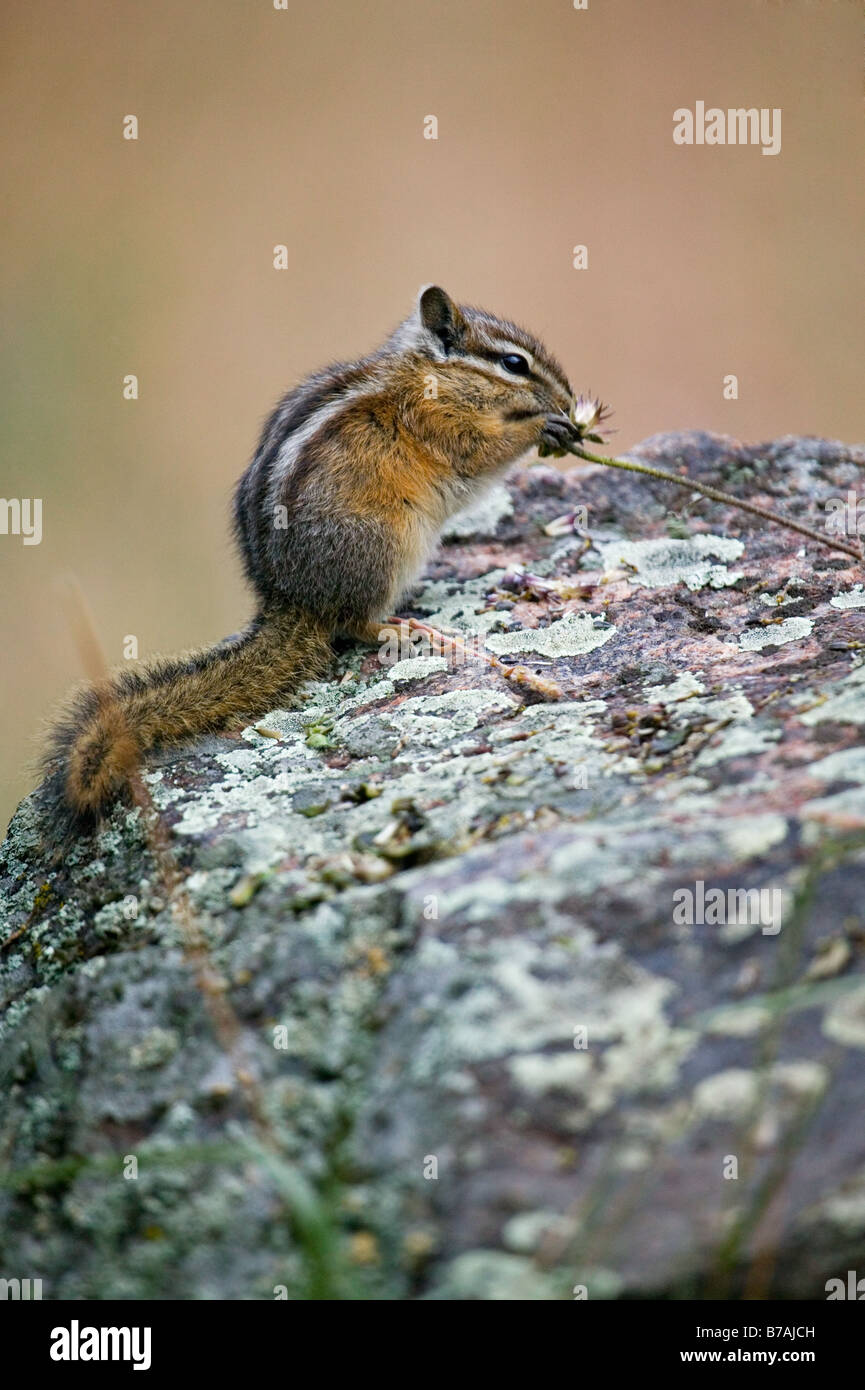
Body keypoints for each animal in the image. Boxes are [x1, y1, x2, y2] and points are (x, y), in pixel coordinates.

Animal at [43, 286, 579, 837]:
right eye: (515, 363)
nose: (568, 399)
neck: (429, 375)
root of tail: (290, 601)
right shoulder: (442, 427)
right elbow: (482, 454)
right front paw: (545, 426)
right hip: (385, 547)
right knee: (354, 624)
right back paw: (402, 629)